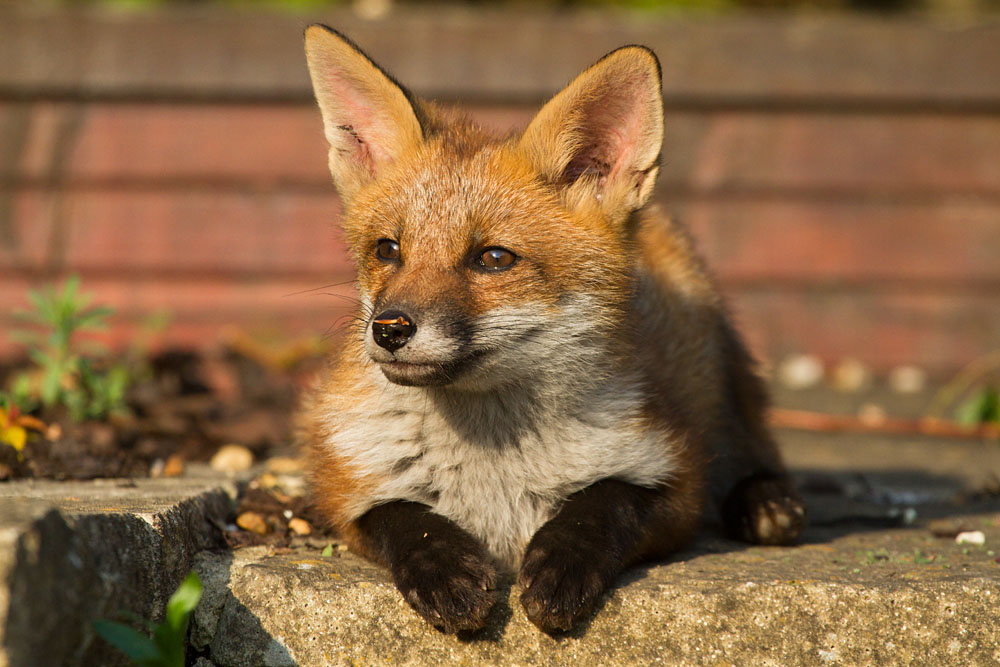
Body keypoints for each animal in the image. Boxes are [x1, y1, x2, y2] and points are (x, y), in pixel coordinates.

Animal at [299, 24, 805, 635]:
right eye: (387, 250)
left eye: (494, 258)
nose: (390, 329)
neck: (493, 469)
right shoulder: (340, 489)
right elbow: (402, 515)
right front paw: (444, 569)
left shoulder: (676, 479)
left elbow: (606, 500)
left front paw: (562, 563)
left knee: (752, 441)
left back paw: (766, 501)